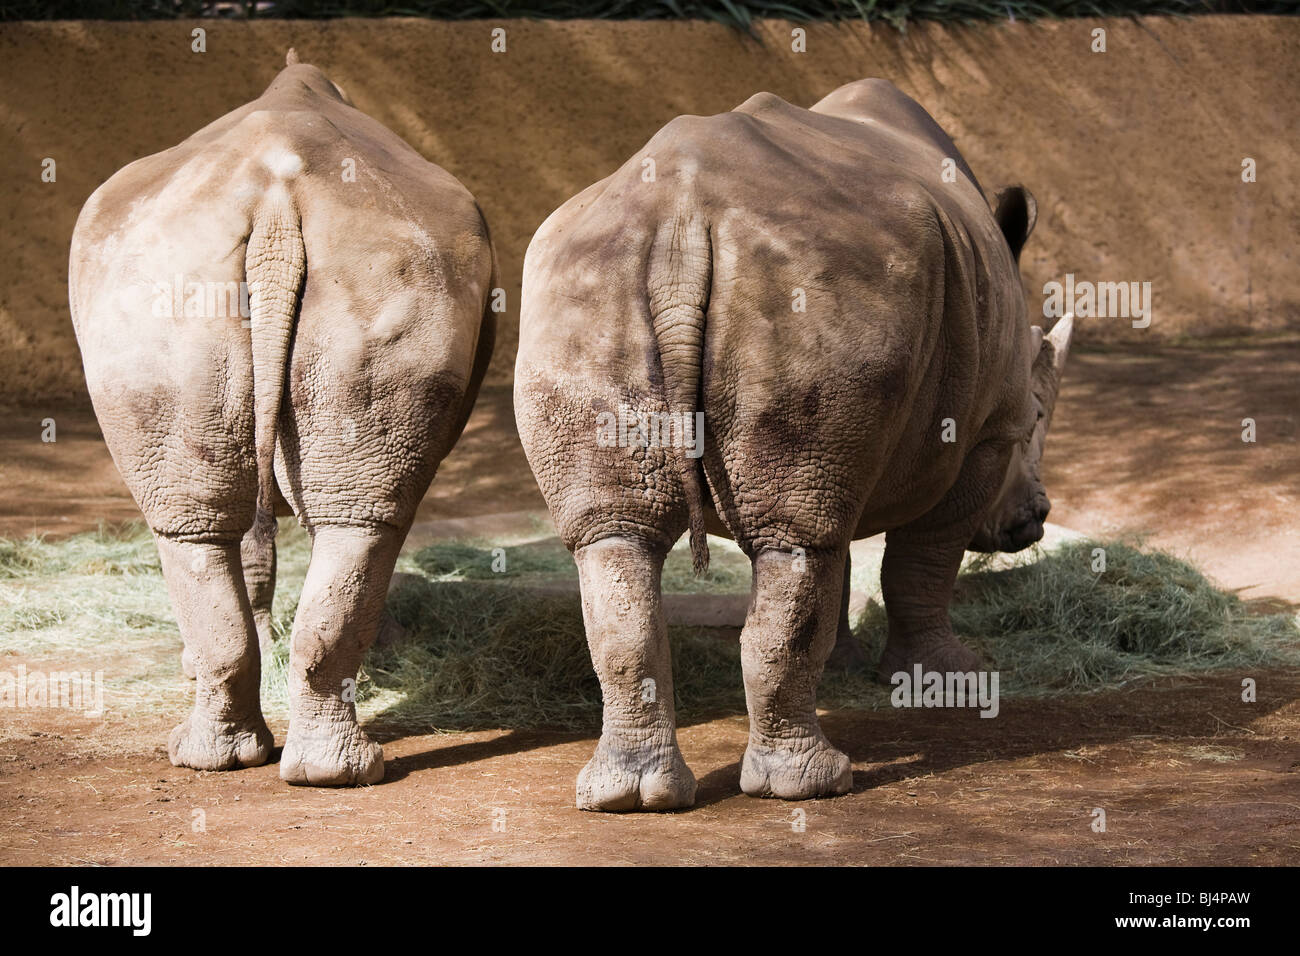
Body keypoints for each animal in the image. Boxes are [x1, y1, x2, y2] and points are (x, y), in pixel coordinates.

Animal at [69, 51, 496, 785]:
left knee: (272, 518)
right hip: (228, 271)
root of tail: (274, 199)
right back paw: (292, 766)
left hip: (212, 270)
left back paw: (251, 760)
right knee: (317, 516)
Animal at [516, 79, 1073, 811]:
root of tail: (679, 216)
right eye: (1038, 416)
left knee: (626, 538)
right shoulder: (985, 433)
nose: (1035, 518)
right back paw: (814, 787)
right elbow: (924, 561)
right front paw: (949, 682)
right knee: (793, 539)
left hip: (586, 283)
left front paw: (845, 665)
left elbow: (839, 554)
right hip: (813, 283)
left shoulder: (848, 449)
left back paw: (630, 797)